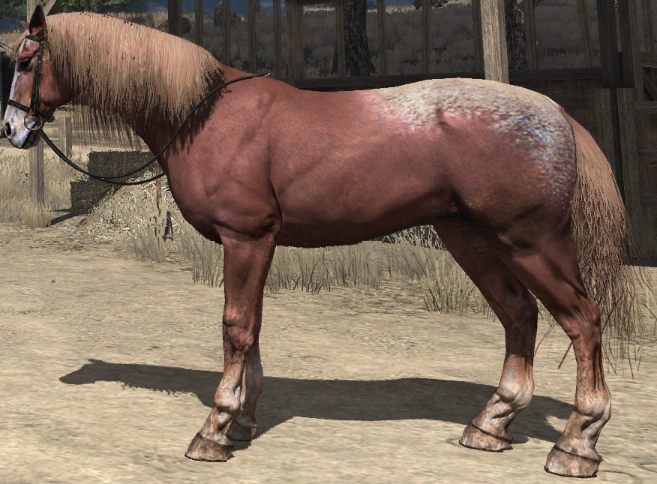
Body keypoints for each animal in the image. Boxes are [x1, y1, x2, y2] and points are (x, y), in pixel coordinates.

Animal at [3, 6, 646, 478]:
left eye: (27, 58)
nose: (12, 129)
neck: (207, 115)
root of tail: (556, 113)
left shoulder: (246, 238)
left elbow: (236, 326)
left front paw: (215, 429)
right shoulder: (258, 244)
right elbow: (253, 328)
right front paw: (243, 424)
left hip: (532, 243)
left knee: (582, 322)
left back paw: (576, 445)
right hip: (471, 240)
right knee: (519, 316)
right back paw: (490, 424)